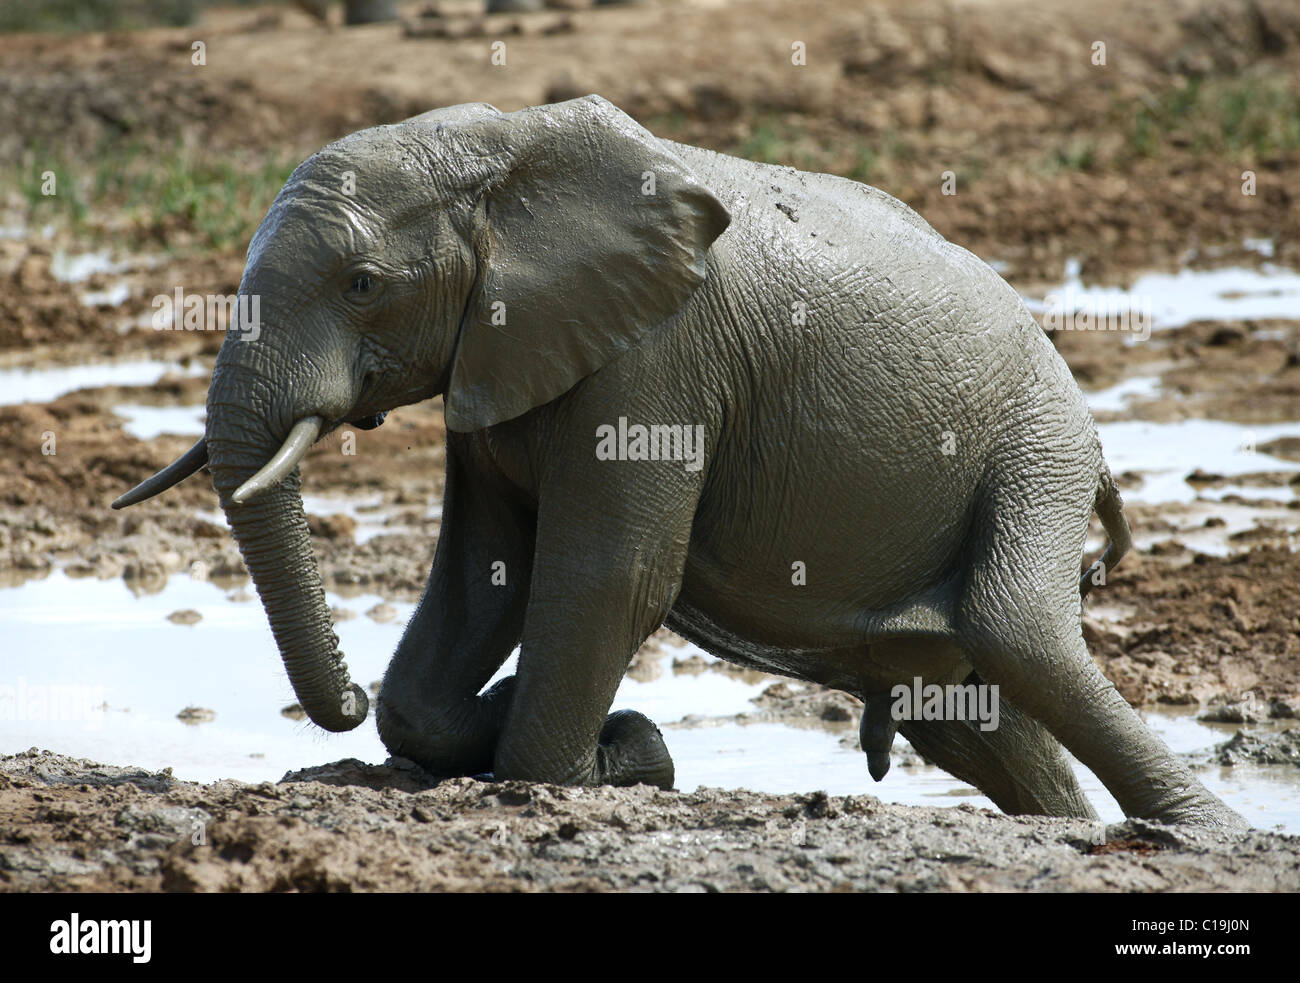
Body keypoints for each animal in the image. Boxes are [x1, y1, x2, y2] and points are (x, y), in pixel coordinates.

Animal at [114, 94, 1246, 831]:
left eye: (360, 283)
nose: (341, 698)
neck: (499, 148)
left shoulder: (654, 359)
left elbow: (608, 574)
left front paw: (591, 765)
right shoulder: (502, 353)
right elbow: (486, 578)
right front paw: (554, 734)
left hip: (1035, 447)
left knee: (1016, 633)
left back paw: (1205, 831)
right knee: (965, 713)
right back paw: (1074, 825)